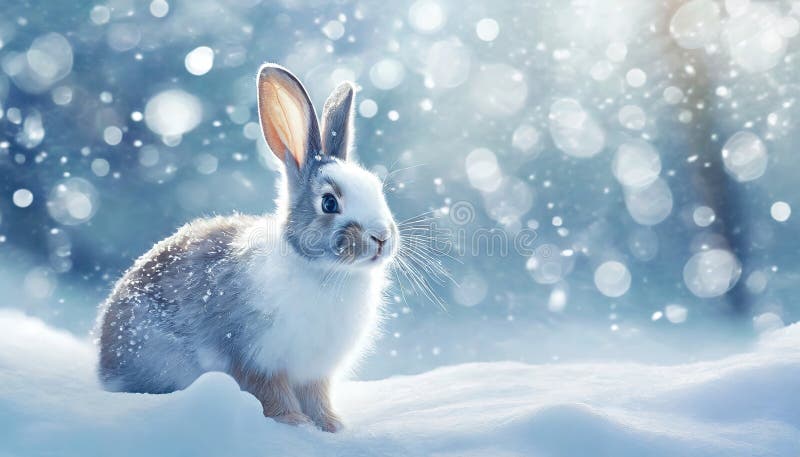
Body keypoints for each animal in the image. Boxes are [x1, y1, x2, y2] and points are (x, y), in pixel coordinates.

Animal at [96, 64, 399, 433]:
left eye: (377, 189)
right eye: (329, 203)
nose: (381, 238)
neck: (323, 270)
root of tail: (103, 368)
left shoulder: (314, 372)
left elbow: (317, 397)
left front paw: (331, 426)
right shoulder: (254, 357)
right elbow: (270, 392)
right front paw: (295, 421)